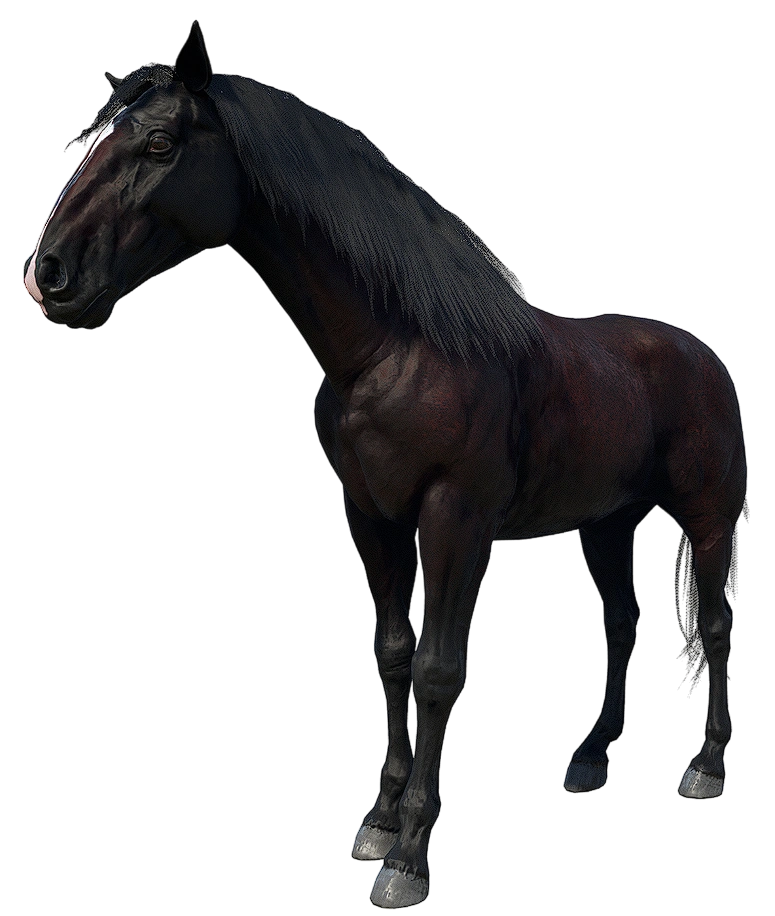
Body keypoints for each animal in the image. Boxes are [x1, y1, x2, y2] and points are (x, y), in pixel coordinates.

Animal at [24, 22, 746, 906]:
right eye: (94, 141)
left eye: (159, 143)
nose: (48, 275)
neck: (396, 348)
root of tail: (700, 356)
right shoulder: (371, 518)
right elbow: (394, 655)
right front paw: (378, 820)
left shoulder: (452, 518)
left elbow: (437, 669)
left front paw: (407, 859)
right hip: (604, 525)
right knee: (620, 624)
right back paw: (586, 759)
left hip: (704, 518)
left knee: (713, 624)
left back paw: (704, 767)